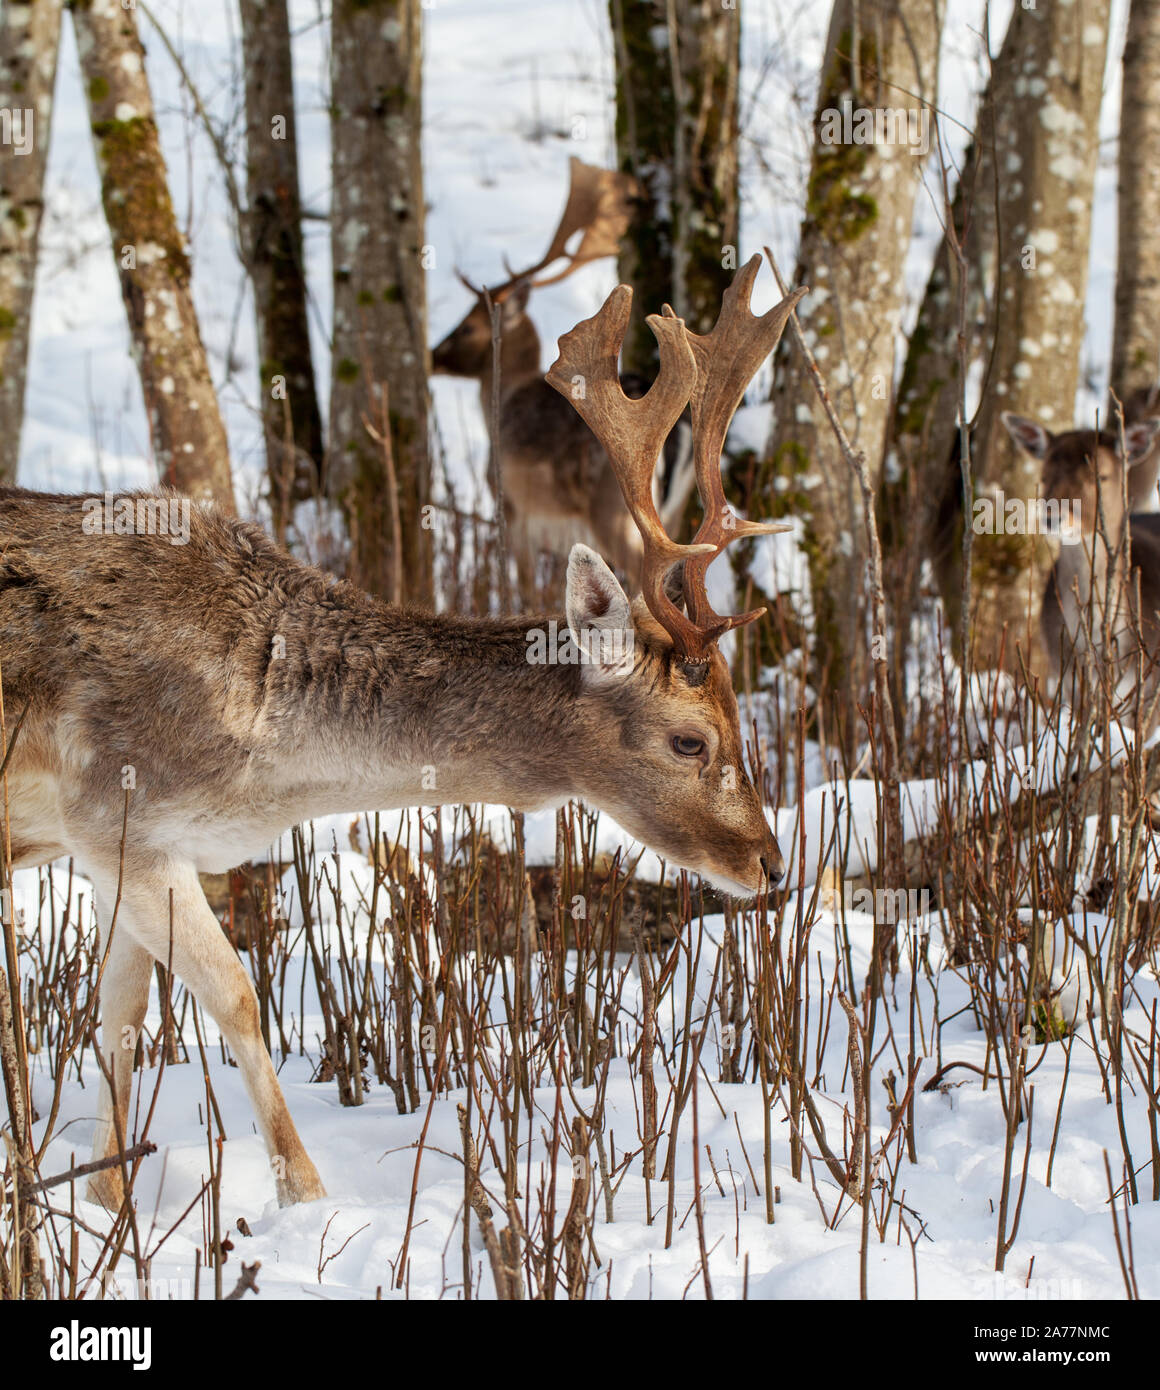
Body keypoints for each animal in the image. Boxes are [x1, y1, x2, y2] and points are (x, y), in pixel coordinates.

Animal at [0, 255, 799, 1212]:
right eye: (691, 741)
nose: (770, 863)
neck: (263, 765)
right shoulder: (113, 811)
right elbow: (235, 996)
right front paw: (304, 1198)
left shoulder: (125, 845)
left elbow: (118, 1016)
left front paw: (110, 1203)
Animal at [432, 157, 695, 601]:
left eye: (467, 327)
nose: (433, 355)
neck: (504, 402)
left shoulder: (516, 510)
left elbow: (523, 588)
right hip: (675, 510)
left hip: (615, 513)